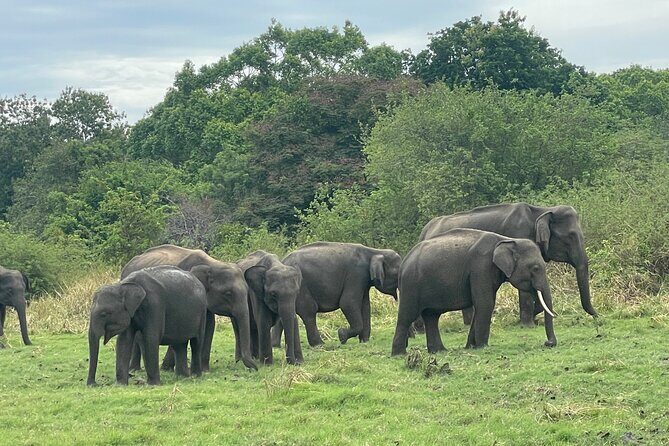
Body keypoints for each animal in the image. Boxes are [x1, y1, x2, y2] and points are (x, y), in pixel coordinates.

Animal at [121, 244, 257, 371]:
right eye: (228, 293)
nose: (255, 368)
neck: (212, 264)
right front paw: (166, 368)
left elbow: (209, 325)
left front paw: (204, 369)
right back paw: (134, 369)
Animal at [273, 242, 401, 347]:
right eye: (397, 274)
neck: (375, 251)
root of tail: (282, 261)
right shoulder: (356, 274)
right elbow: (348, 303)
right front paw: (341, 335)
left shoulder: (364, 281)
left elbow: (365, 306)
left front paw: (364, 342)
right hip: (301, 286)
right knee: (309, 311)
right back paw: (319, 345)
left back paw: (276, 345)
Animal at [391, 229, 557, 356]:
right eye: (535, 268)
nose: (548, 343)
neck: (506, 240)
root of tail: (404, 262)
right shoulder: (480, 267)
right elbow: (485, 304)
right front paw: (483, 346)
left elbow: (482, 305)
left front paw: (471, 347)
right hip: (411, 285)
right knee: (407, 316)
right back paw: (399, 354)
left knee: (432, 317)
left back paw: (439, 351)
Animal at [419, 203, 595, 327]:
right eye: (571, 236)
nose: (597, 316)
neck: (542, 210)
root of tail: (424, 231)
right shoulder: (519, 235)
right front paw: (528, 324)